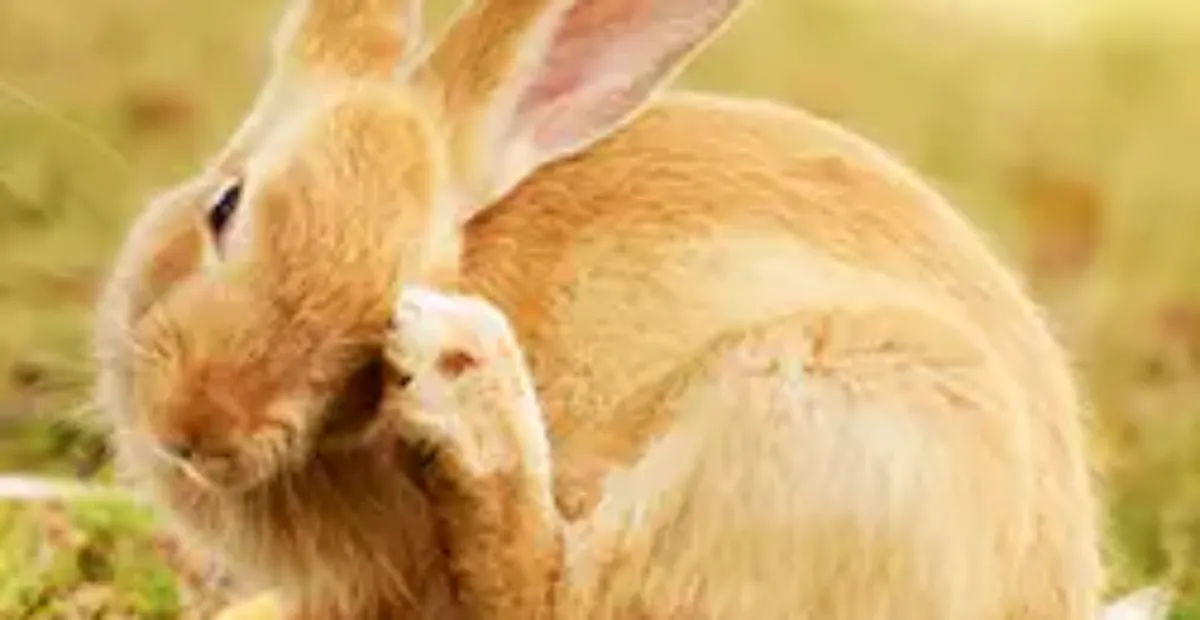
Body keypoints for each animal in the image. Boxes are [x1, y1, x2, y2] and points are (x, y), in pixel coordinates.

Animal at [93, 0, 1104, 618]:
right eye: (224, 206)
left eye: (379, 322)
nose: (200, 430)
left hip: (827, 413)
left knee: (560, 595)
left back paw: (467, 386)